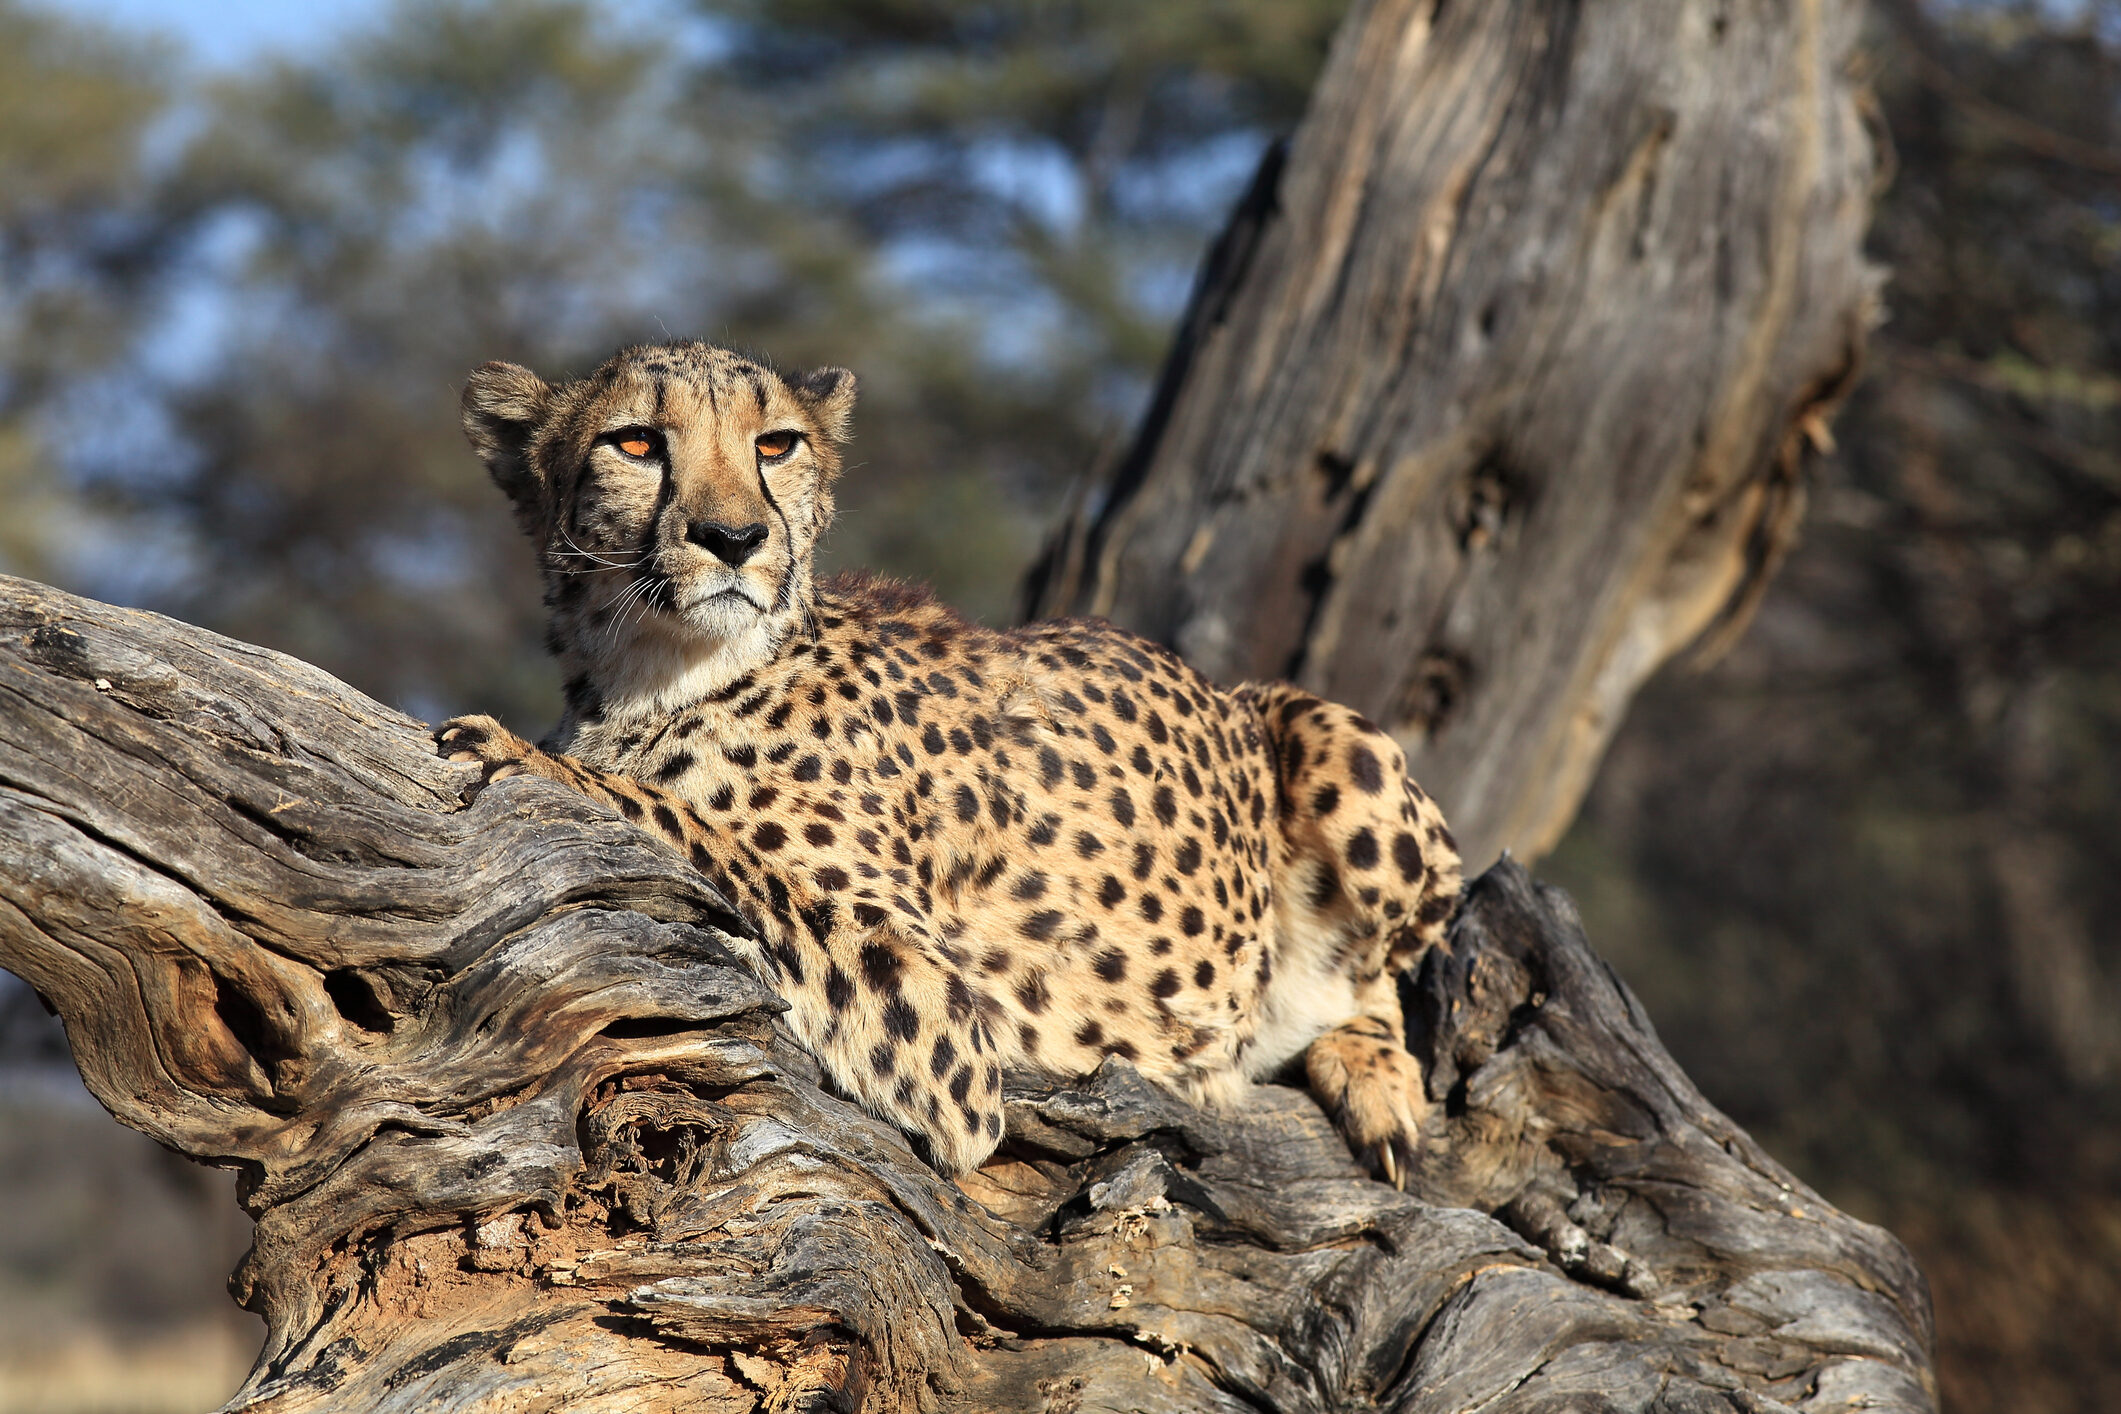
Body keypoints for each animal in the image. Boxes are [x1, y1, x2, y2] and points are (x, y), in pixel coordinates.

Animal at [438, 340, 1462, 1184]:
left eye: (775, 445)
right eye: (637, 443)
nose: (733, 539)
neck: (648, 672)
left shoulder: (938, 1019)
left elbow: (677, 820)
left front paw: (512, 749)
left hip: (1335, 739)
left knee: (1381, 969)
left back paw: (1372, 1073)